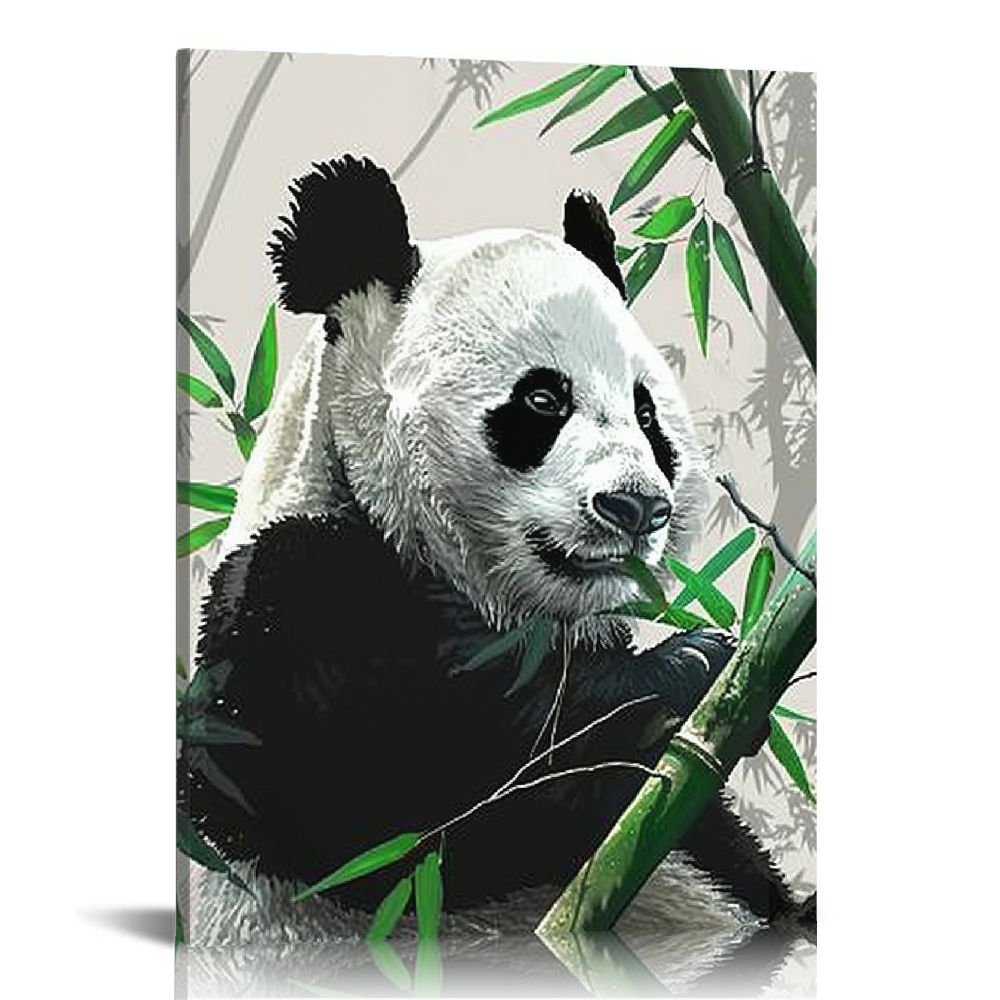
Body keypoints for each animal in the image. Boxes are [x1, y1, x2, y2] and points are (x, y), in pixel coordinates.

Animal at [178, 154, 806, 950]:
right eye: (543, 400)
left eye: (645, 412)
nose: (637, 507)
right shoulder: (293, 597)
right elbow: (403, 819)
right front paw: (688, 667)